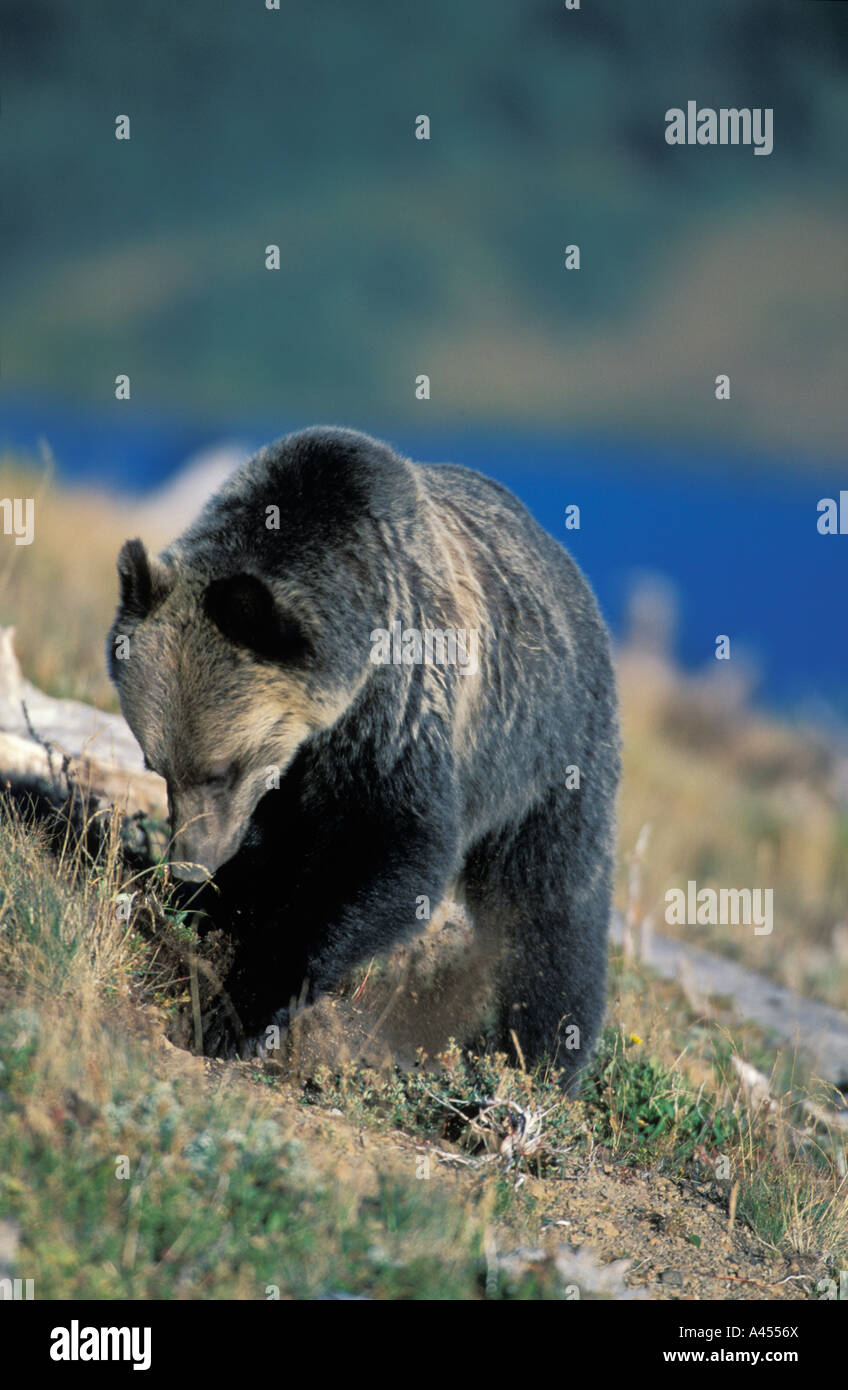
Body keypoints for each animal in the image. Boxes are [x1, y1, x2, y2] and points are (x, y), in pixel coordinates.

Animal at [108, 426, 620, 1083]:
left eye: (222, 768)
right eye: (156, 764)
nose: (191, 865)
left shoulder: (398, 702)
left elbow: (384, 846)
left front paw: (237, 1012)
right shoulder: (297, 768)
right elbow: (275, 851)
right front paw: (203, 913)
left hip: (549, 751)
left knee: (549, 908)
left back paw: (544, 1056)